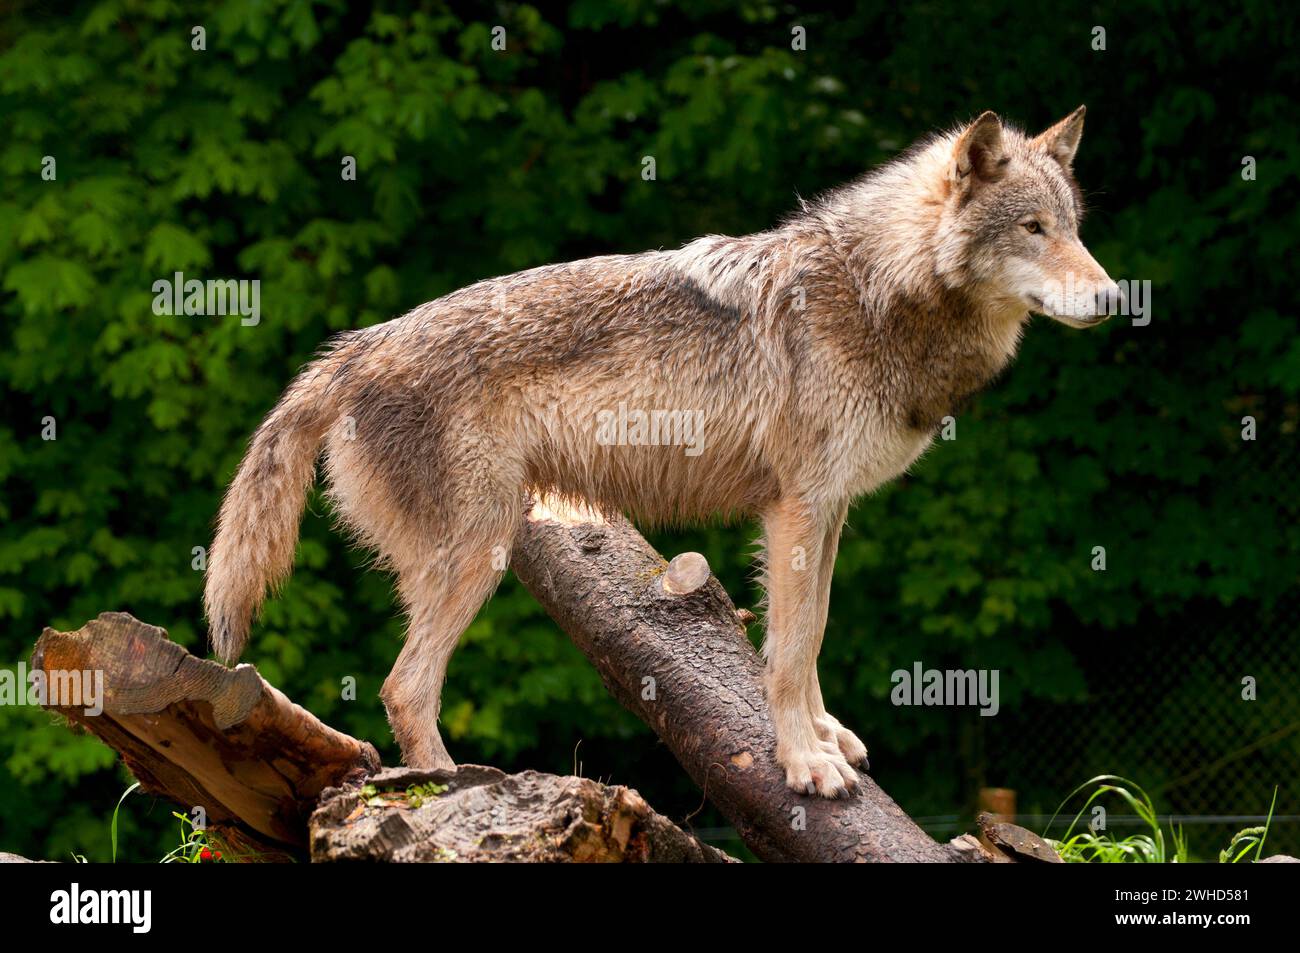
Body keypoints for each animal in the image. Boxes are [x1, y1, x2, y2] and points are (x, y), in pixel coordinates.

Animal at [205, 108, 1118, 797]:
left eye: (1073, 228)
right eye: (1032, 229)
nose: (1116, 297)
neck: (877, 292)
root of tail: (355, 348)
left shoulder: (826, 514)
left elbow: (810, 637)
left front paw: (824, 737)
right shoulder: (798, 508)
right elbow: (789, 653)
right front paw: (805, 764)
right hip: (479, 552)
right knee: (404, 685)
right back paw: (450, 787)